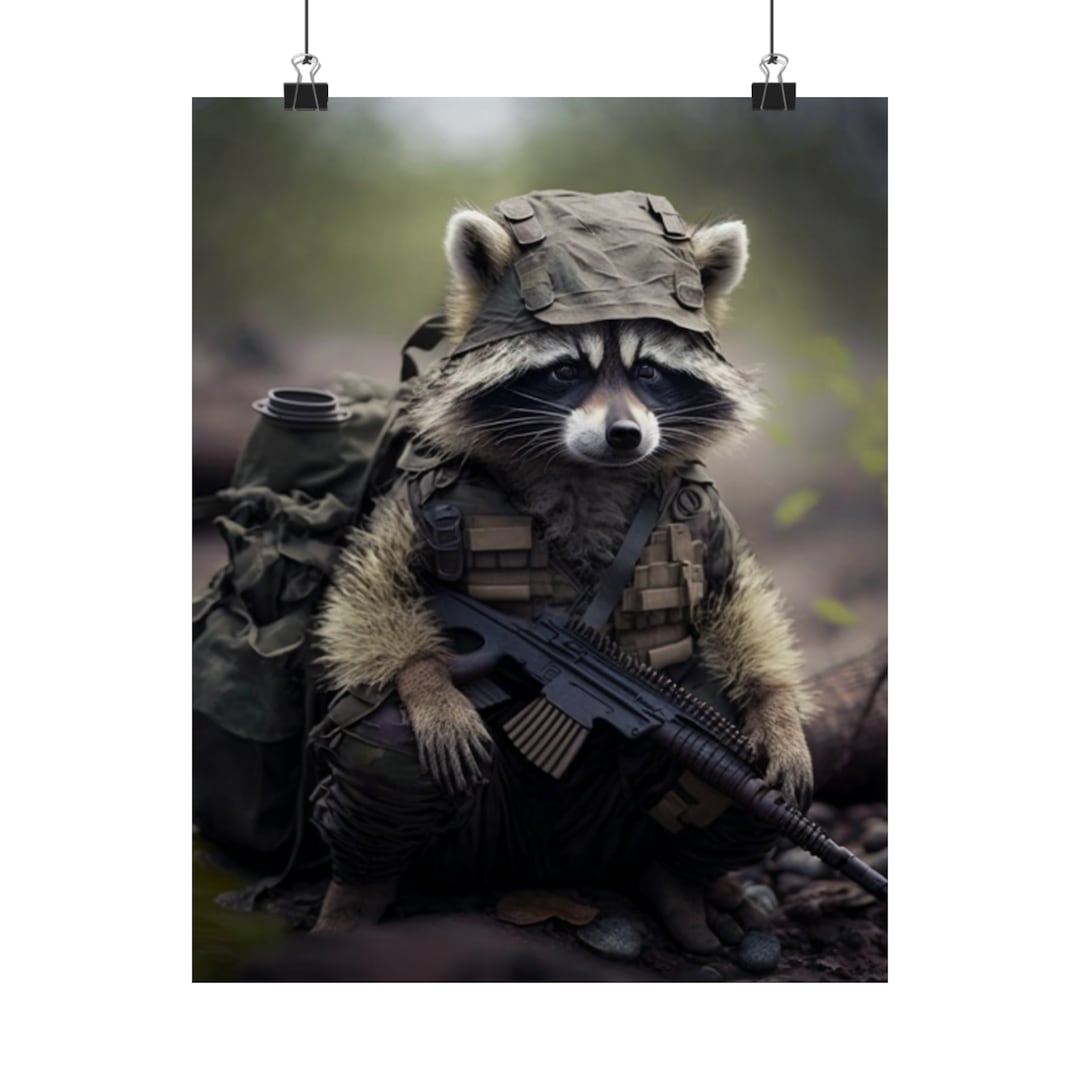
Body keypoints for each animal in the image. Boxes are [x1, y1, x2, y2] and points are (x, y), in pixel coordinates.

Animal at [312, 193, 815, 945]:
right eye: (565, 372)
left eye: (650, 373)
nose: (625, 436)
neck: (584, 471)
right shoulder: (421, 493)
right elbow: (370, 589)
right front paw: (427, 679)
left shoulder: (704, 509)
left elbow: (736, 600)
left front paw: (778, 707)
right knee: (387, 734)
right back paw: (357, 895)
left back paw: (682, 888)